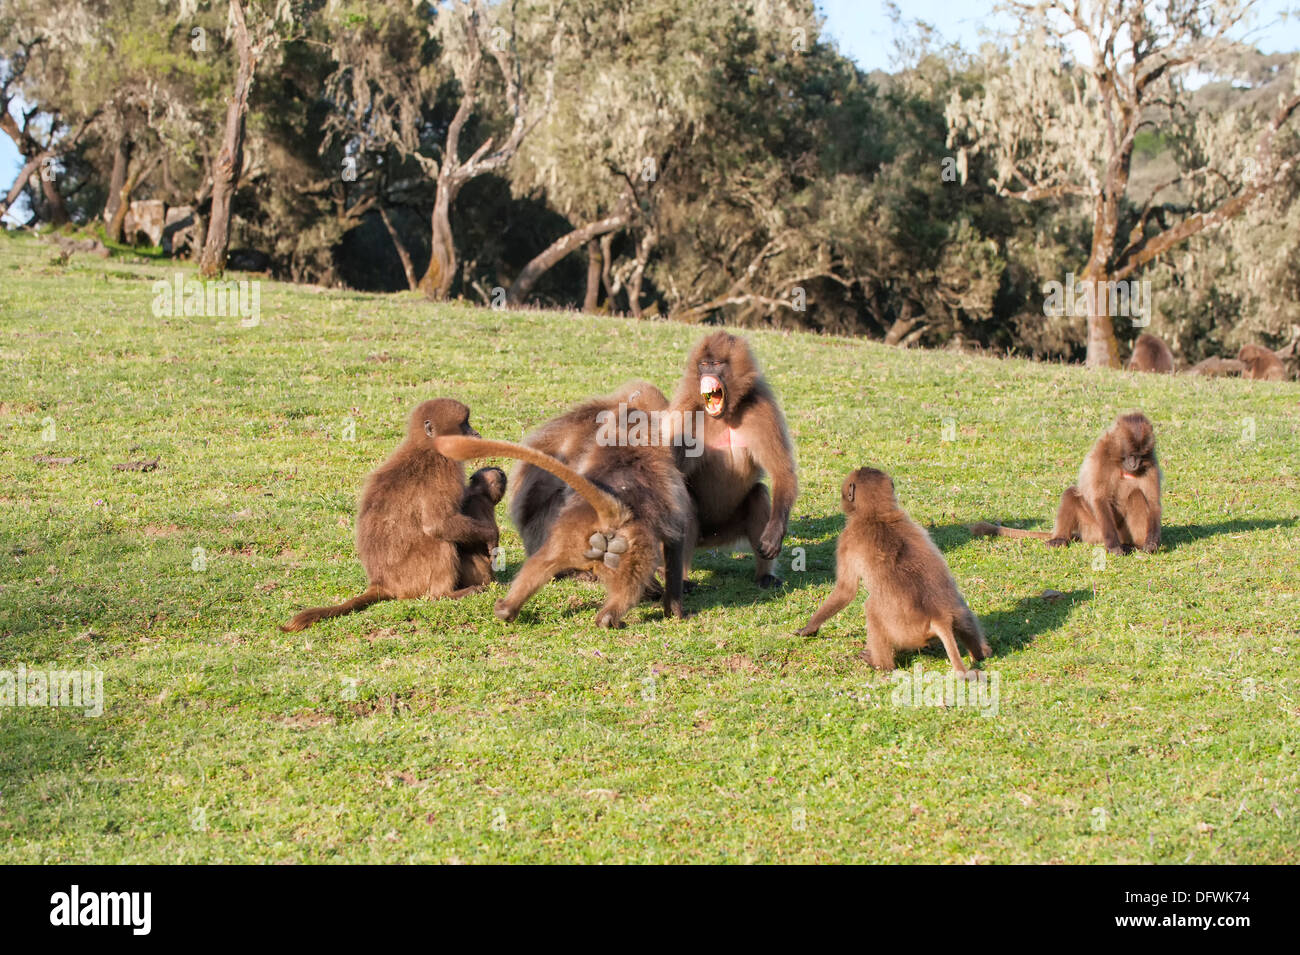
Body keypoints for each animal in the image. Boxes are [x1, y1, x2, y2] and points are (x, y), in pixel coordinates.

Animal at [280, 399, 497, 632]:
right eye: (464, 424)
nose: (476, 434)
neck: (427, 446)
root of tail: (381, 582)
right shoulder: (444, 469)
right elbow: (438, 524)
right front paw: (491, 537)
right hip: (412, 576)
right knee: (440, 542)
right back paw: (447, 594)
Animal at [436, 385, 690, 628]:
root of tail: (612, 515)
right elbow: (676, 542)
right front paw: (675, 608)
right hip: (630, 548)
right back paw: (611, 615)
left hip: (569, 536)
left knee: (544, 560)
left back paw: (506, 609)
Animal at [669, 332, 797, 588]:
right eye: (703, 364)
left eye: (717, 363)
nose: (707, 372)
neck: (725, 415)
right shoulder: (684, 412)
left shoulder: (762, 408)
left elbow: (782, 472)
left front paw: (775, 533)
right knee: (685, 502)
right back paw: (683, 581)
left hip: (727, 528)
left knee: (758, 495)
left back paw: (764, 576)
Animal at [795, 467, 990, 679]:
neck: (877, 514)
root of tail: (940, 616)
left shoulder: (847, 539)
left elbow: (845, 590)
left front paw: (809, 628)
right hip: (958, 613)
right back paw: (981, 653)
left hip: (904, 630)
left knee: (872, 608)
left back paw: (879, 664)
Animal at [971, 411, 1161, 556]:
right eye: (1130, 454)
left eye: (1141, 455)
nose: (1134, 464)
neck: (1120, 463)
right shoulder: (1102, 455)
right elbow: (1099, 499)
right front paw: (1114, 547)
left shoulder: (1151, 462)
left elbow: (1153, 503)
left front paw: (1151, 543)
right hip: (1093, 528)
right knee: (1071, 494)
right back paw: (1060, 538)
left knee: (1137, 495)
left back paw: (1134, 544)